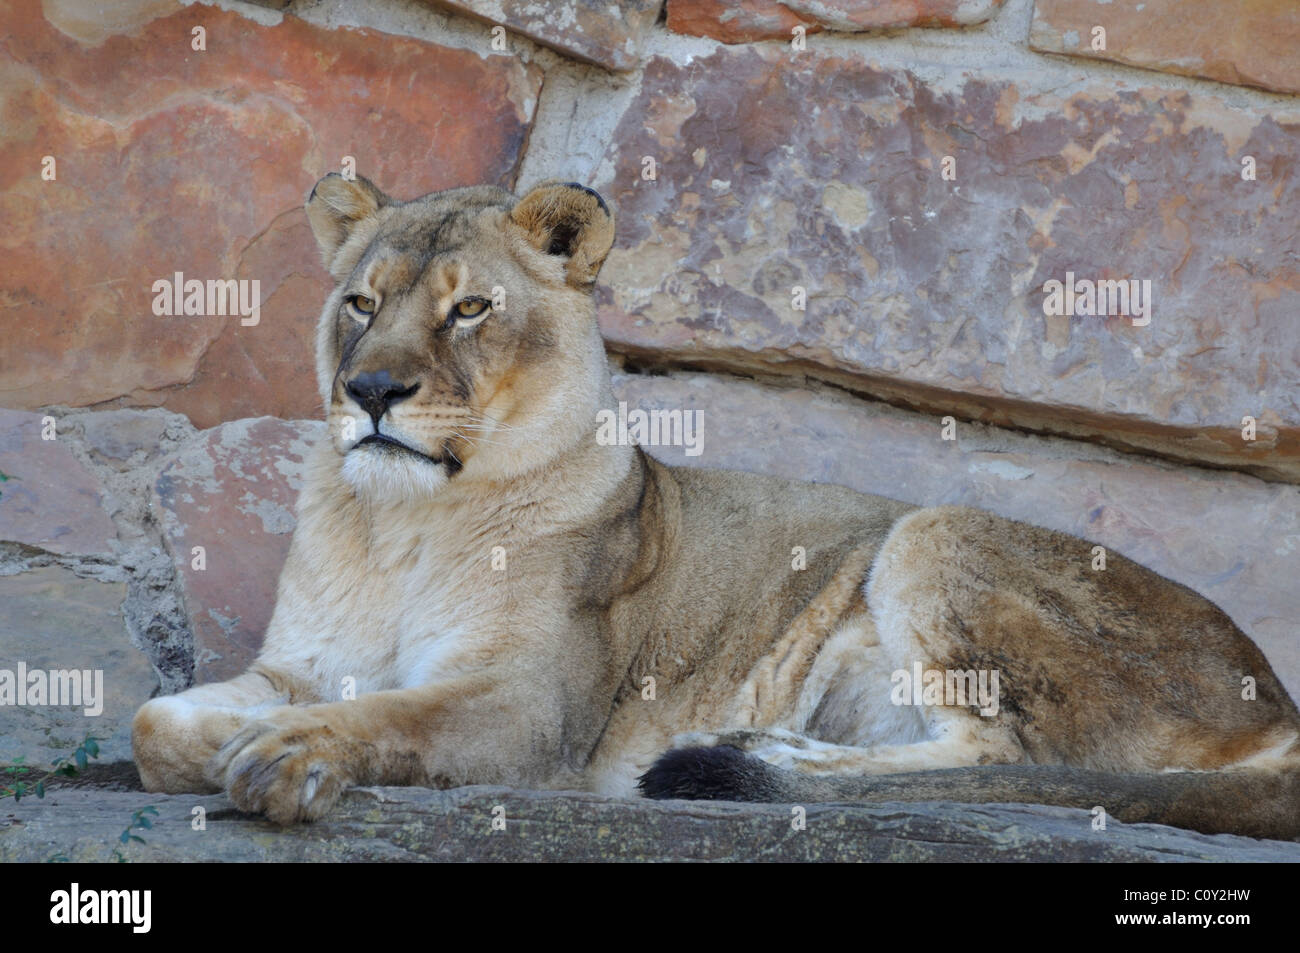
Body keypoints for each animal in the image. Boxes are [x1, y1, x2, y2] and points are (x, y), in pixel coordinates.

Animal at [132, 174, 1300, 839]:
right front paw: (234, 739)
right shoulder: (299, 661)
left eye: (470, 309)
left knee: (1009, 761)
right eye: (360, 303)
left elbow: (392, 714)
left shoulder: (531, 707)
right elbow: (154, 723)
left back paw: (743, 756)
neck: (401, 521)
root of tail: (1278, 699)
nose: (372, 390)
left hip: (937, 529)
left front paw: (288, 758)